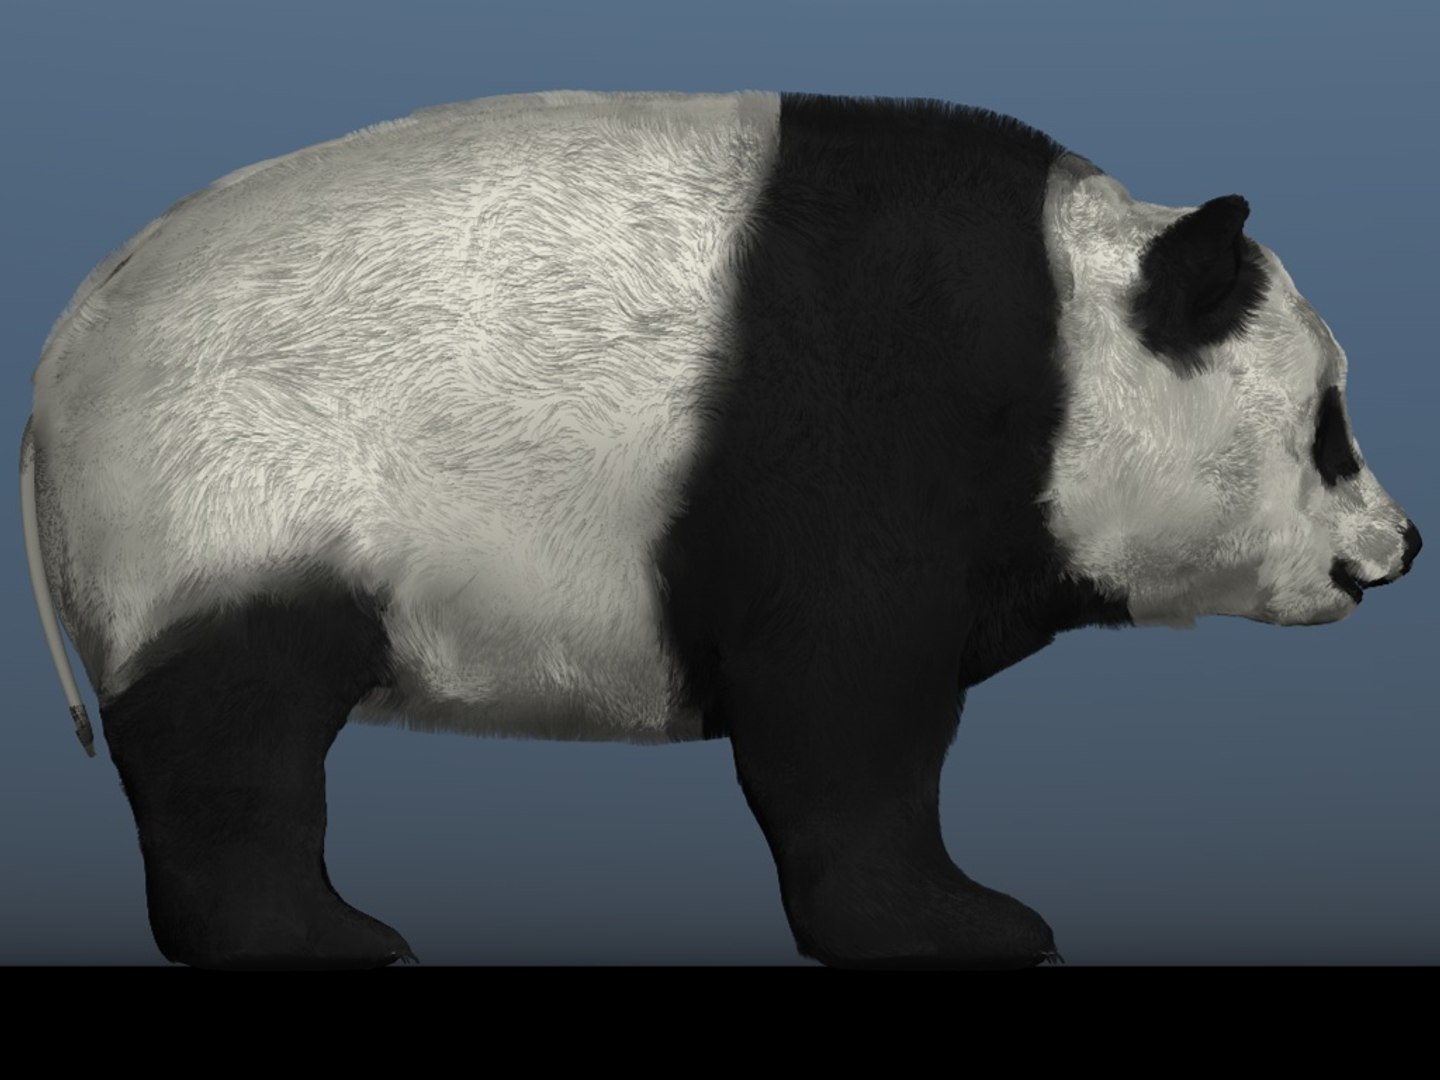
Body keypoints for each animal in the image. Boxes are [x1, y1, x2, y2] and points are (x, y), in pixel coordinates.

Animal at [20, 90, 1421, 970]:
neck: (1064, 348)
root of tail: (55, 373)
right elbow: (844, 712)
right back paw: (318, 939)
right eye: (1329, 428)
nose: (1403, 545)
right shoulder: (868, 435)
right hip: (232, 489)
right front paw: (961, 926)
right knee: (230, 732)